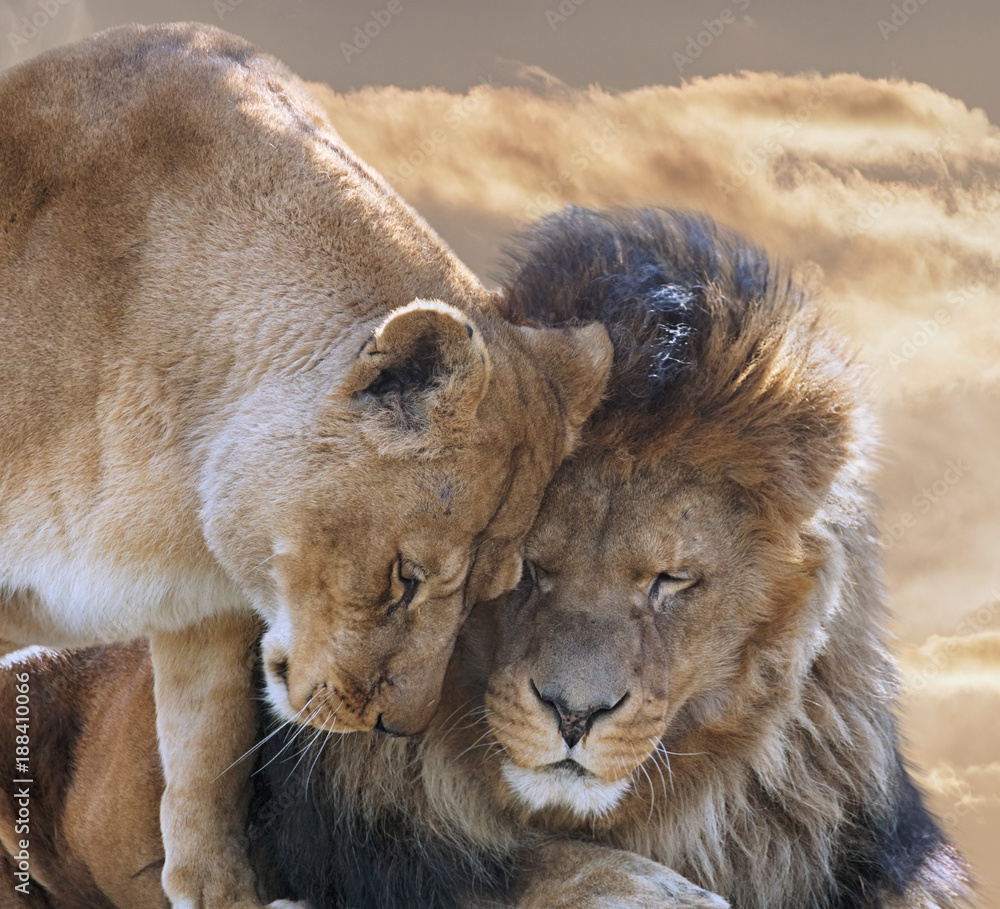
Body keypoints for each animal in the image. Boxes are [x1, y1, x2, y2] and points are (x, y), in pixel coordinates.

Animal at [0, 24, 611, 909]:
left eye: (491, 593)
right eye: (405, 577)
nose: (401, 726)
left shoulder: (203, 617)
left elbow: (204, 764)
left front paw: (220, 888)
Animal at [0, 209, 972, 908]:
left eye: (670, 580)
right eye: (525, 572)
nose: (575, 713)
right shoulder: (356, 851)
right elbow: (512, 870)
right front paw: (642, 891)